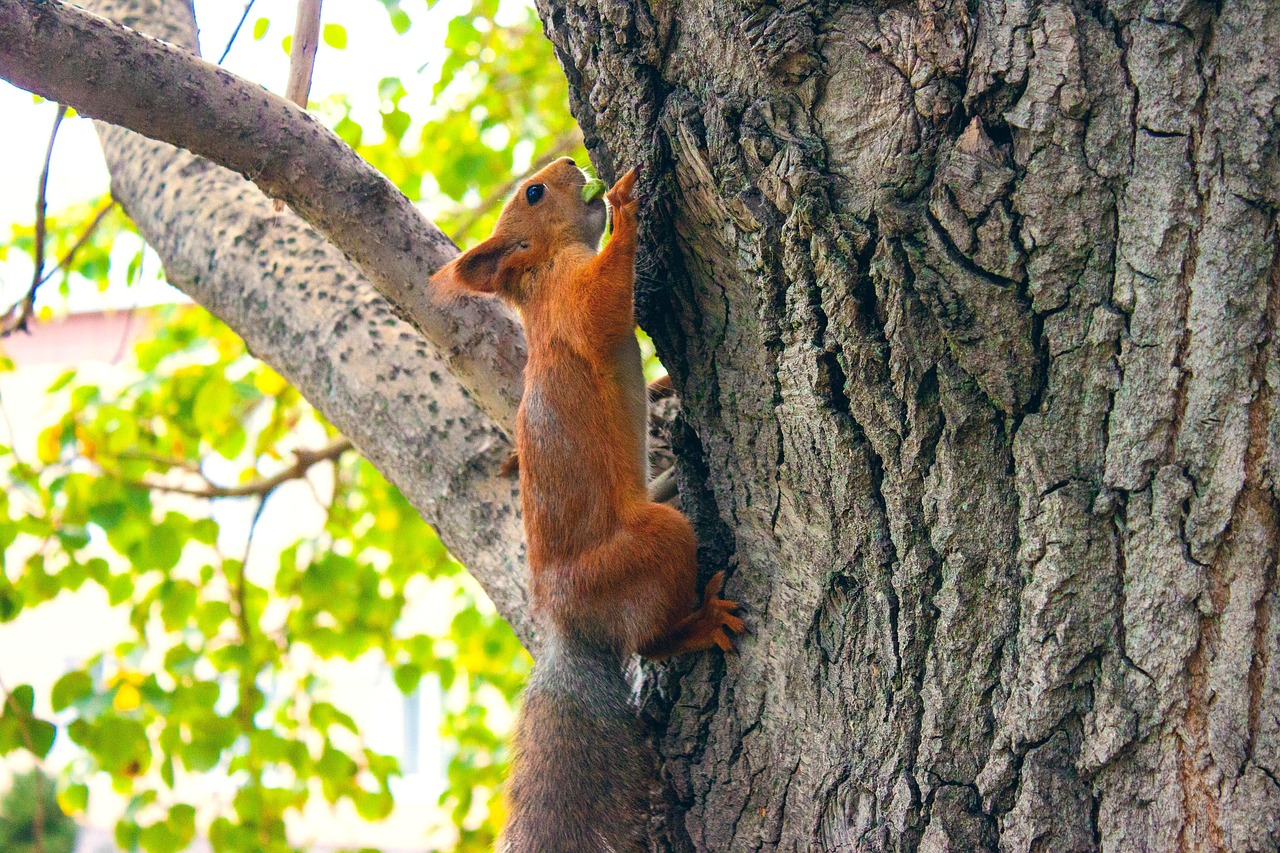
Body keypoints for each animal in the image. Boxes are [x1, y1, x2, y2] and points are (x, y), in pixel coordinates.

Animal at [430, 158, 743, 852]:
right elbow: (604, 308)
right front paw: (625, 203)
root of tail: (569, 626)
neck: (543, 268)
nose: (574, 163)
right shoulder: (570, 303)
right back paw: (703, 620)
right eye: (534, 193)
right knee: (651, 641)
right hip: (646, 546)